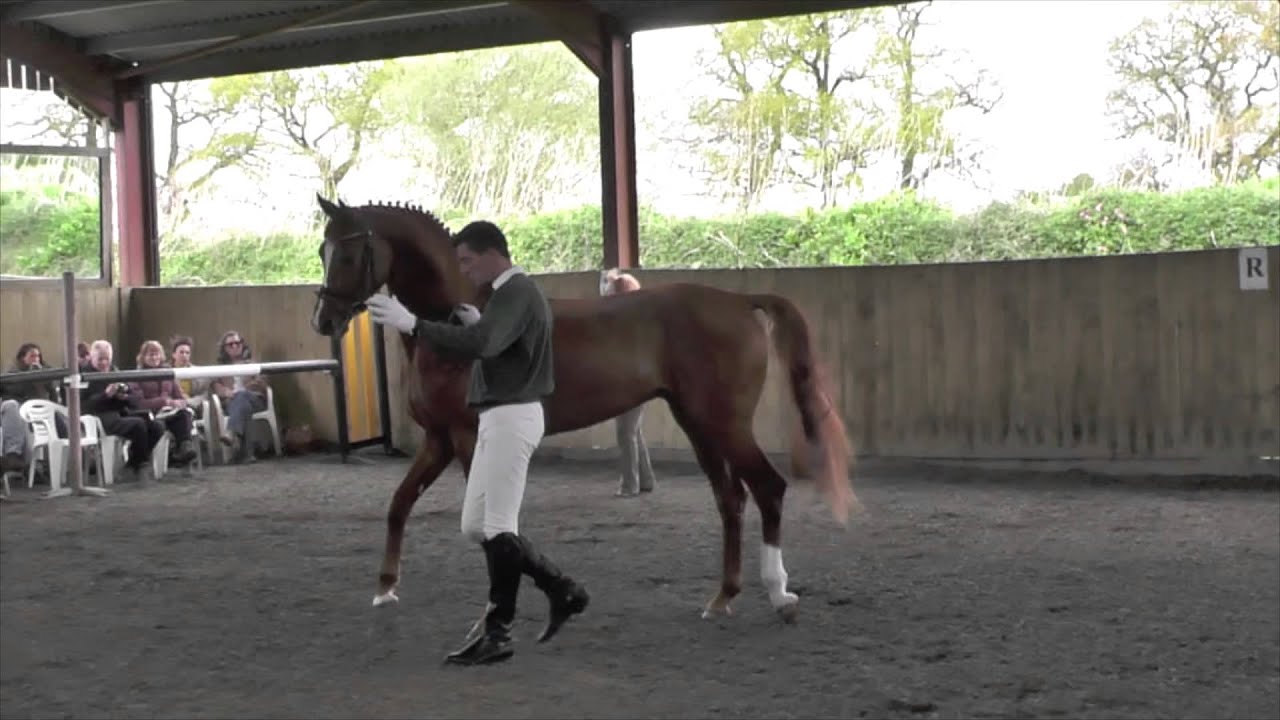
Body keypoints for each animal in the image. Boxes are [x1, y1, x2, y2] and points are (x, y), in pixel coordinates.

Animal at [599, 267, 657, 497]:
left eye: (609, 281)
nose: (604, 274)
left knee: (626, 435)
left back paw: (628, 488)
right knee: (636, 434)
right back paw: (646, 484)